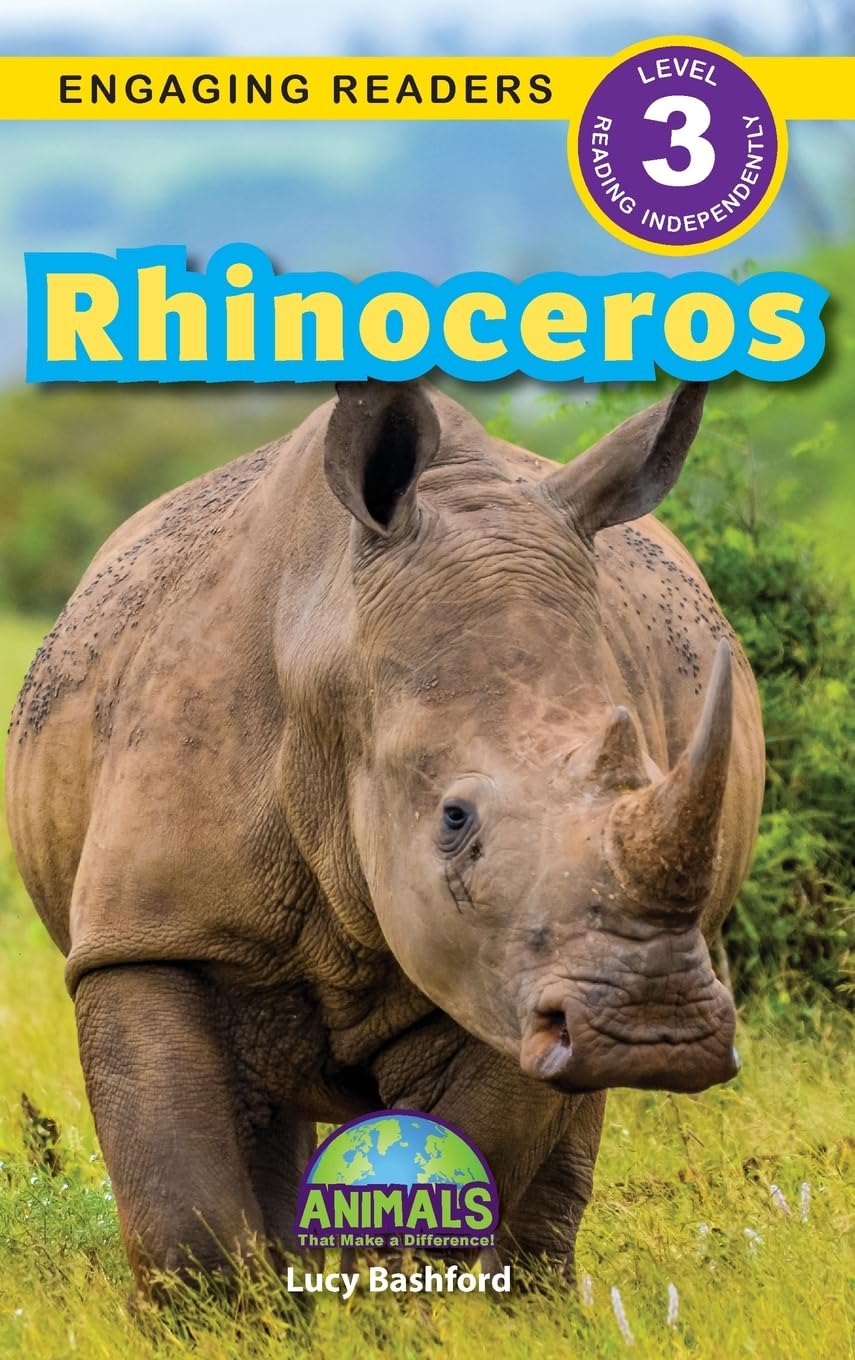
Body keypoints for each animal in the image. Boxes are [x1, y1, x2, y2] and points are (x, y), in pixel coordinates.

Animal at [6, 380, 764, 1292]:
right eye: (454, 820)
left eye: (647, 774)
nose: (655, 1028)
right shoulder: (149, 931)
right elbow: (183, 1209)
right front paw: (232, 1315)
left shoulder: (509, 972)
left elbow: (455, 1171)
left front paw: (391, 1303)